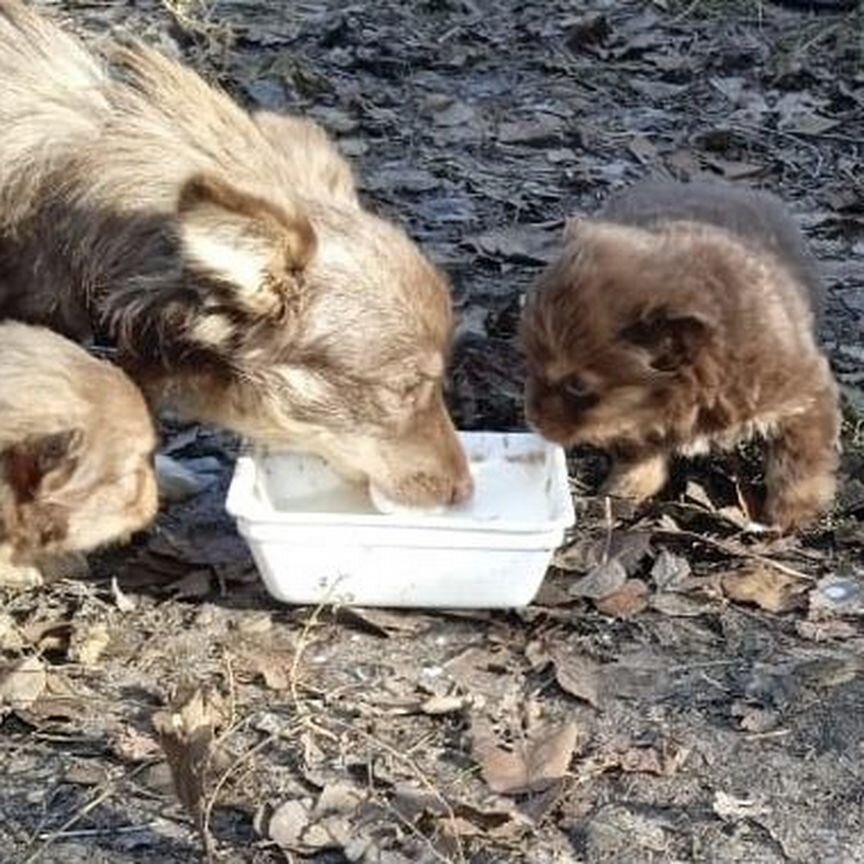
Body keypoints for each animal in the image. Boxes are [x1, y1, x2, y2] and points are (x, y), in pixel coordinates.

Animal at [524, 181, 840, 532]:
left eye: (578, 386)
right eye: (529, 359)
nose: (531, 419)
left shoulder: (804, 400)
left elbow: (797, 464)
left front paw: (788, 514)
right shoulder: (639, 420)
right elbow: (639, 453)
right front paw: (624, 489)